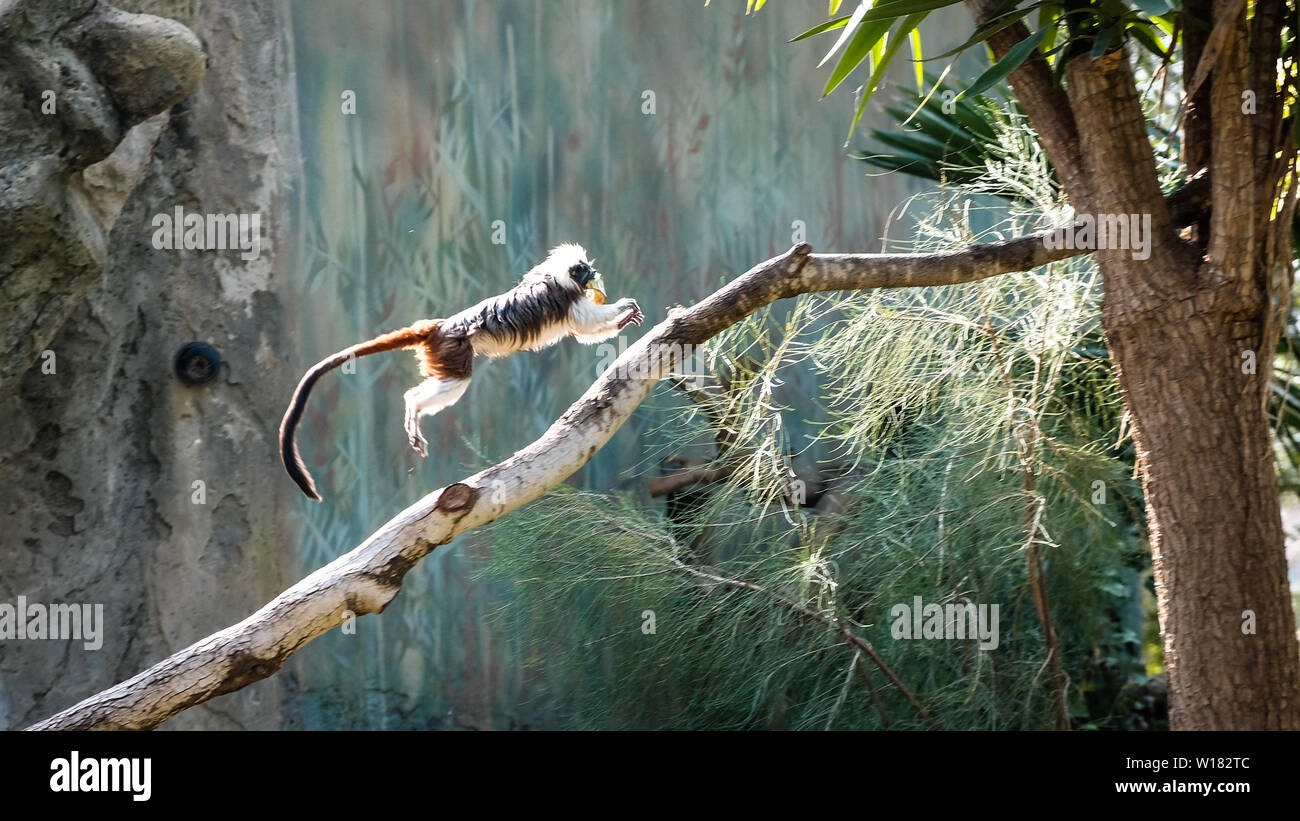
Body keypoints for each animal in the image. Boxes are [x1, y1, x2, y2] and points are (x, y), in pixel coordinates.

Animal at [279, 243, 645, 501]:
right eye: (585, 270)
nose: (595, 271)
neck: (558, 278)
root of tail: (440, 326)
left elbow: (586, 333)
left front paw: (624, 318)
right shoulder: (566, 299)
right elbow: (588, 324)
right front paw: (625, 307)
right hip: (453, 350)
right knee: (450, 383)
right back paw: (413, 408)